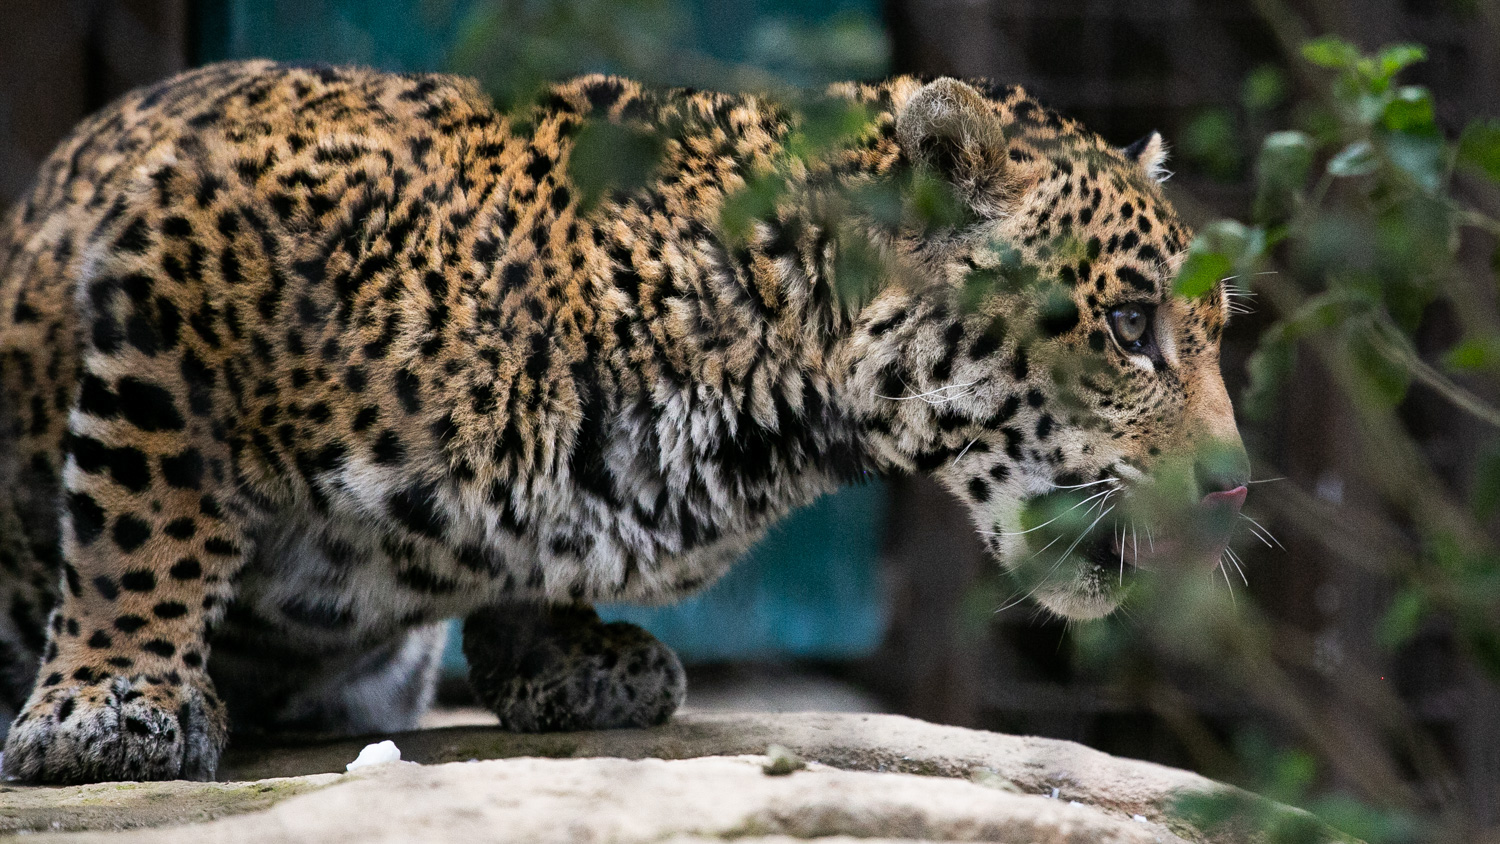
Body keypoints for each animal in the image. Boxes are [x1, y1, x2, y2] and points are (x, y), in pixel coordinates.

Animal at [0, 60, 1250, 784]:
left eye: (1219, 325)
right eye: (1129, 322)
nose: (1236, 485)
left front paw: (565, 651)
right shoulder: (191, 234)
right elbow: (142, 508)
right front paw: (111, 705)